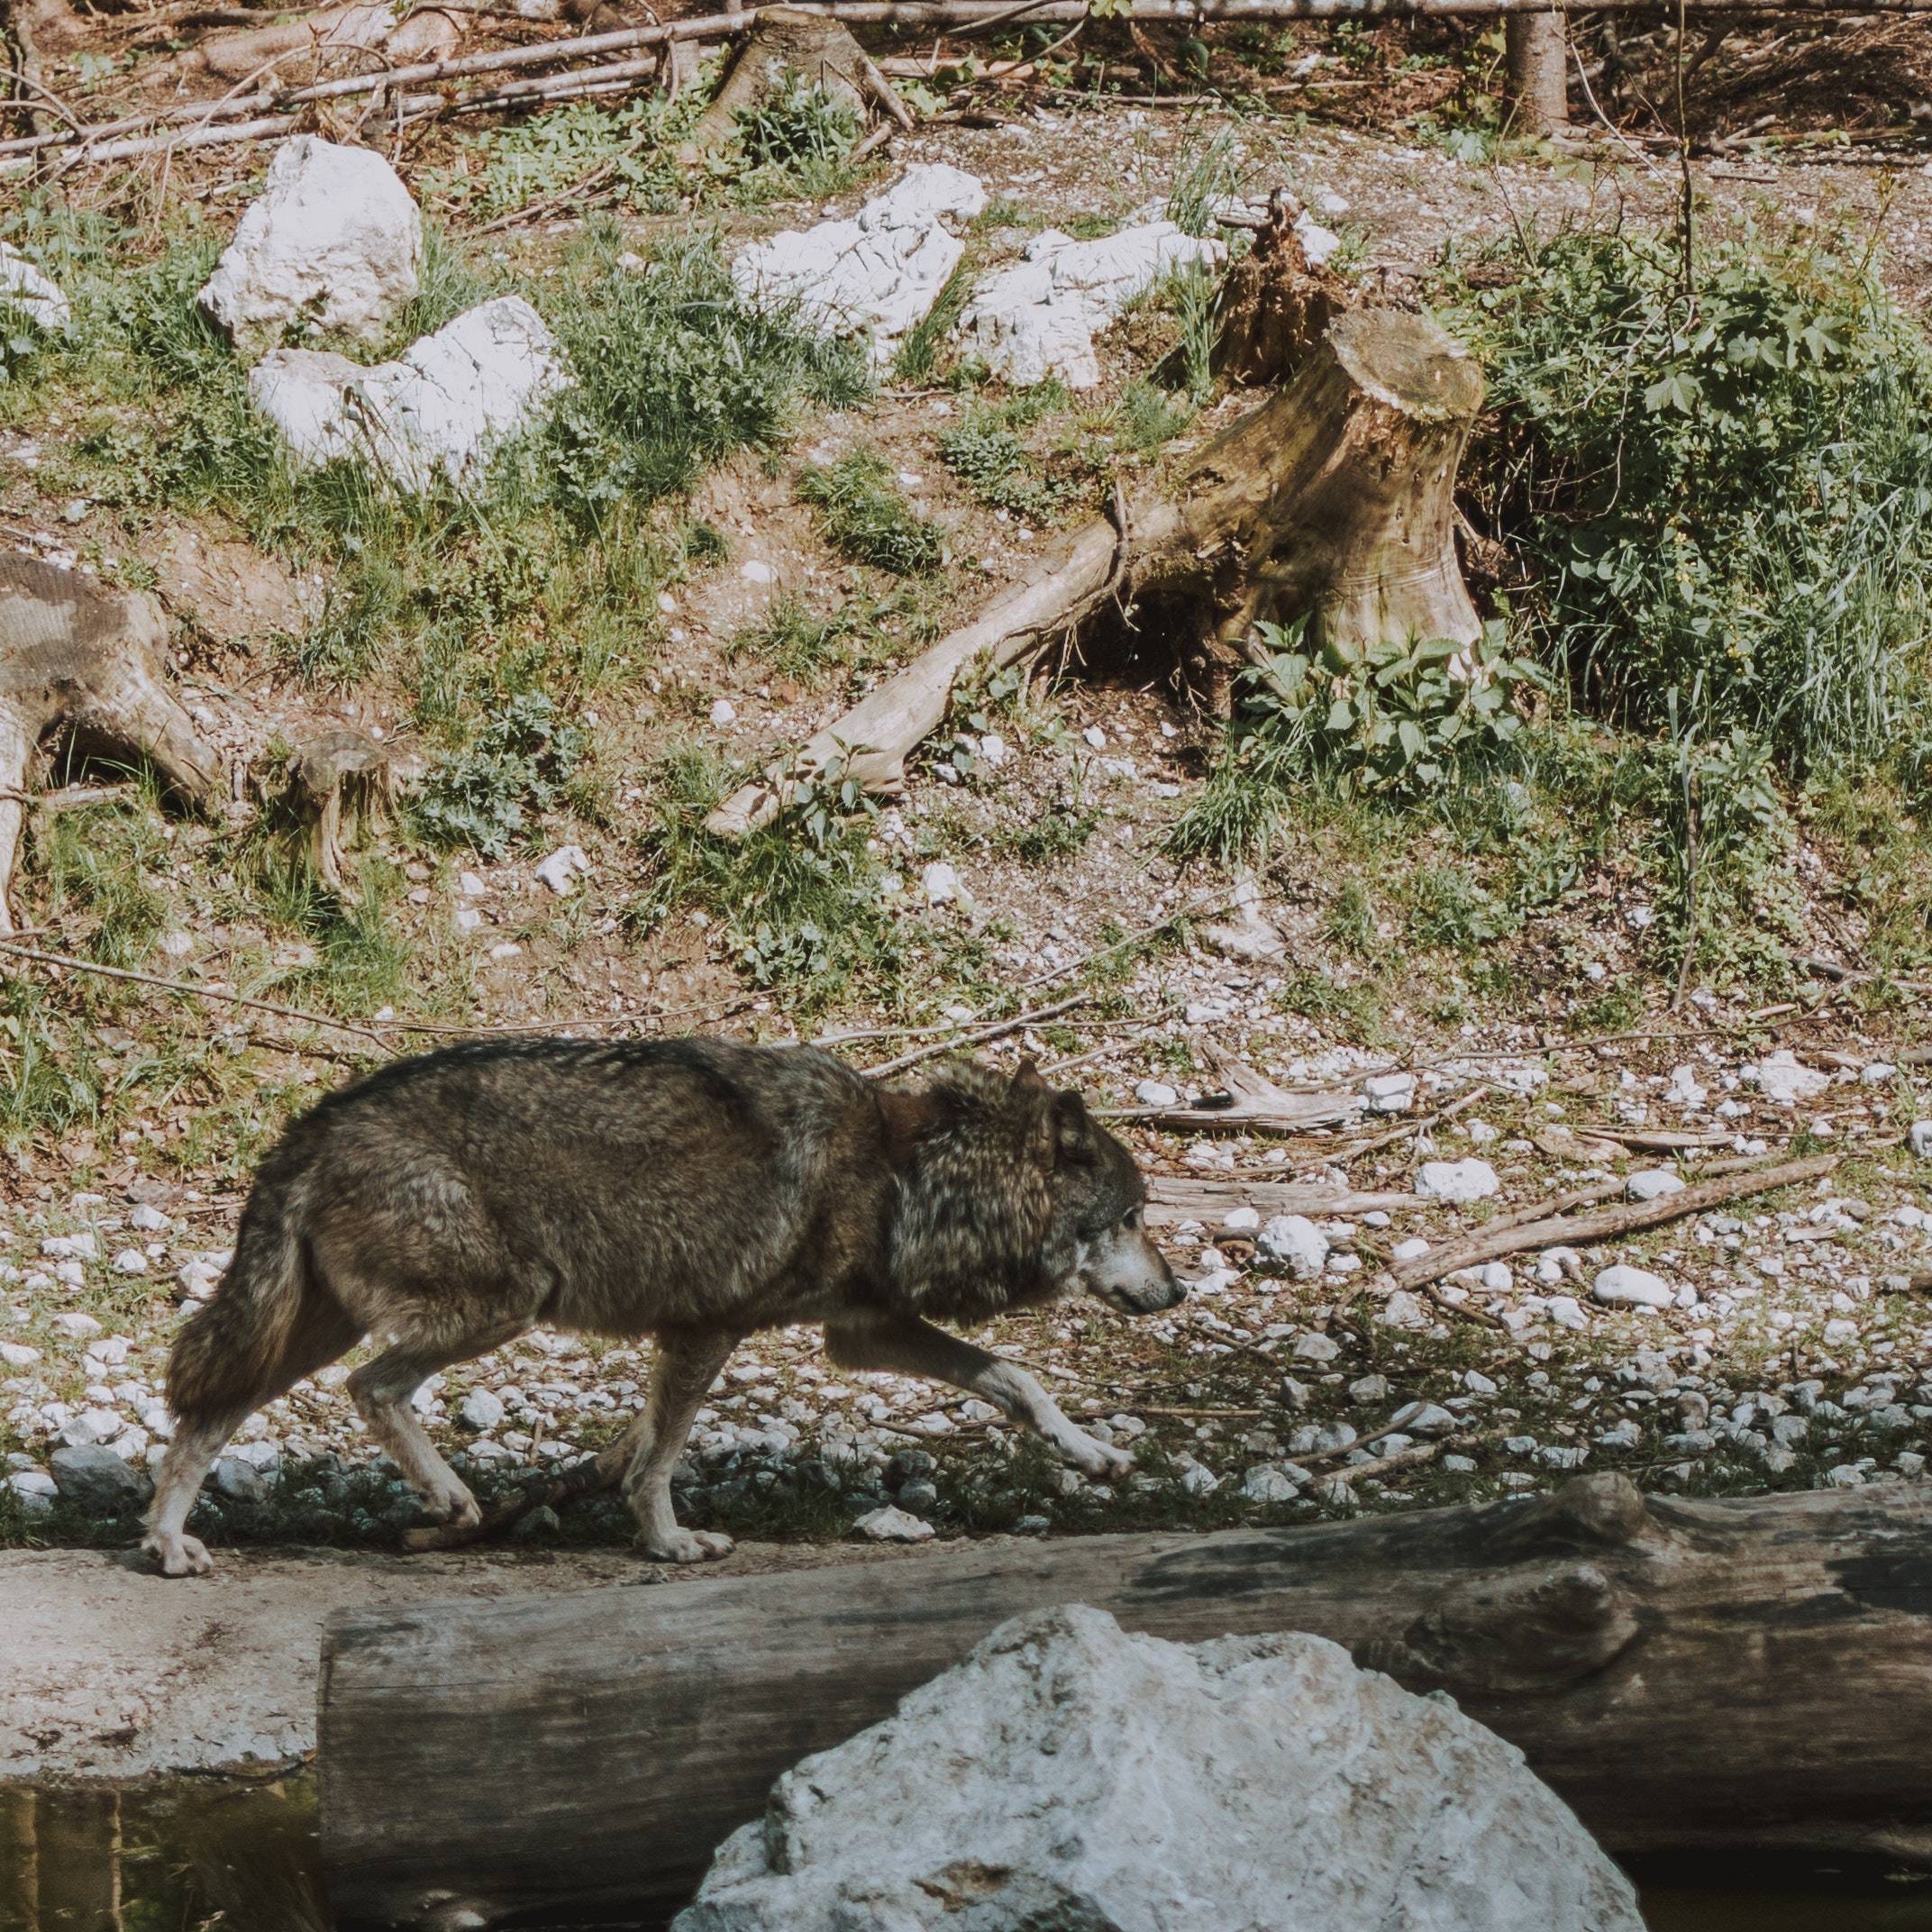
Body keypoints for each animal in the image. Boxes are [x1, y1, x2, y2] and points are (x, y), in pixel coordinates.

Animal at [140, 1037, 1183, 1576]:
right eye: (1132, 1217)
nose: (1176, 1290)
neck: (906, 1176)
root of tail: (311, 1124)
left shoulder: (861, 1331)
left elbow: (1019, 1380)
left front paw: (1091, 1454)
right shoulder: (704, 1329)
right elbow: (661, 1457)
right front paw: (670, 1540)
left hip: (312, 1327)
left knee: (207, 1414)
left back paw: (168, 1544)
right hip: (504, 1302)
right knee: (372, 1388)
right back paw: (448, 1498)